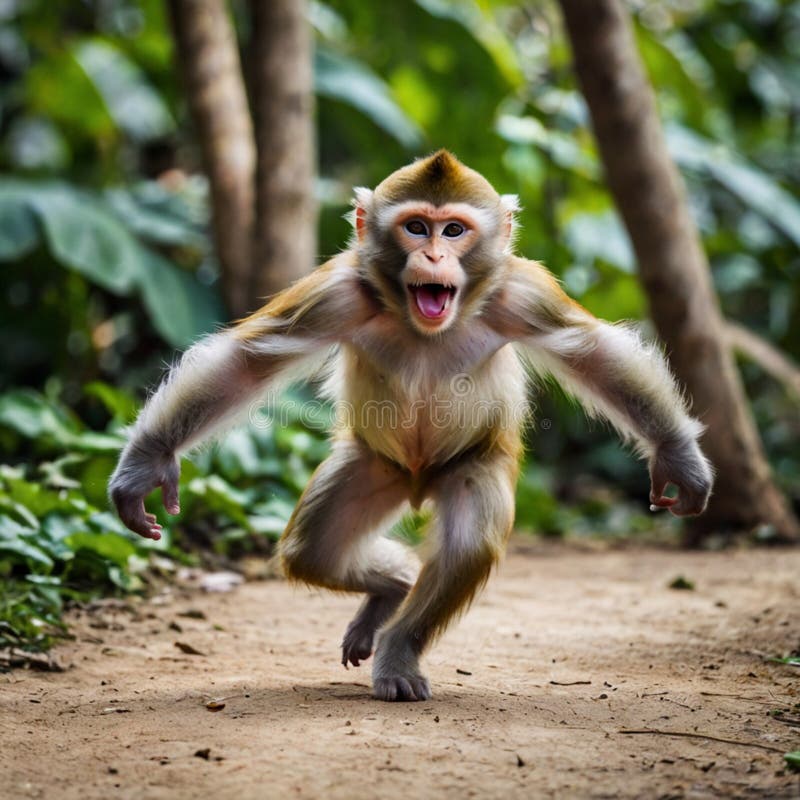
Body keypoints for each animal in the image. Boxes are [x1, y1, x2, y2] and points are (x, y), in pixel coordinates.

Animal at [108, 150, 713, 702]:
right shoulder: (336, 290)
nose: (434, 253)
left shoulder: (523, 292)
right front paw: (145, 466)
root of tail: (418, 484)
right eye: (417, 226)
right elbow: (248, 359)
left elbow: (594, 353)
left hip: (472, 462)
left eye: (455, 229)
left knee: (465, 544)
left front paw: (678, 457)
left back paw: (399, 646)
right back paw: (392, 588)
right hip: (375, 466)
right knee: (314, 550)